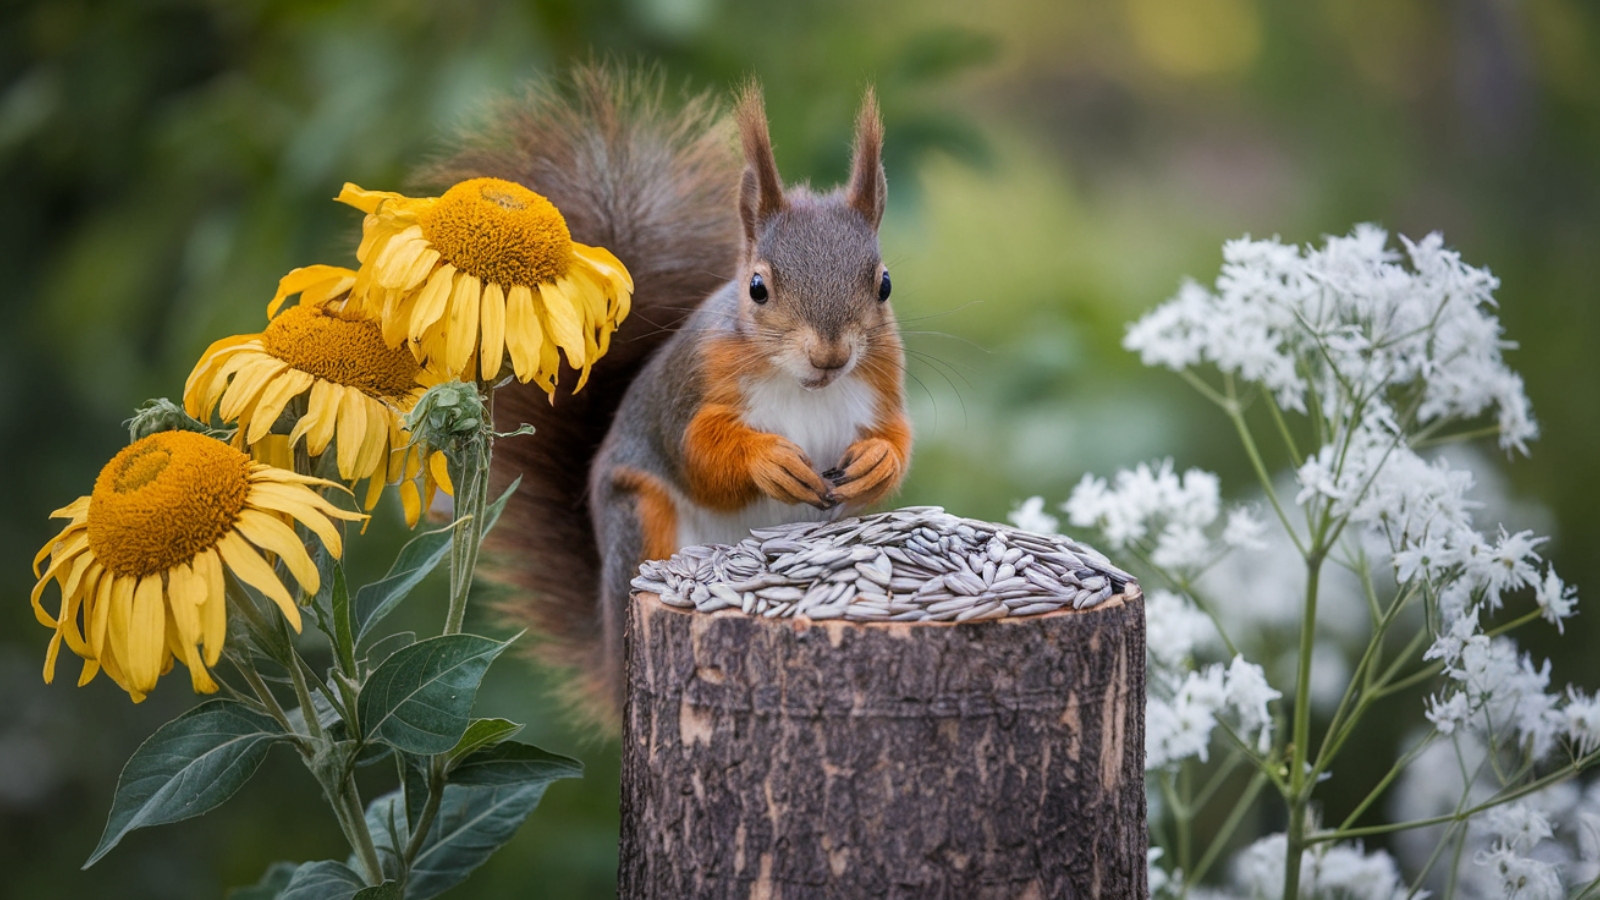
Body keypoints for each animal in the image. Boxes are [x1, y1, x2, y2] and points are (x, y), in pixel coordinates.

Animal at [421, 65, 911, 727]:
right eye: (757, 287)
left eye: (883, 284)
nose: (830, 356)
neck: (806, 385)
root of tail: (611, 664)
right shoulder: (692, 387)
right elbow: (696, 456)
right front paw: (767, 461)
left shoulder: (883, 385)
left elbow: (896, 439)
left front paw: (878, 461)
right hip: (642, 519)